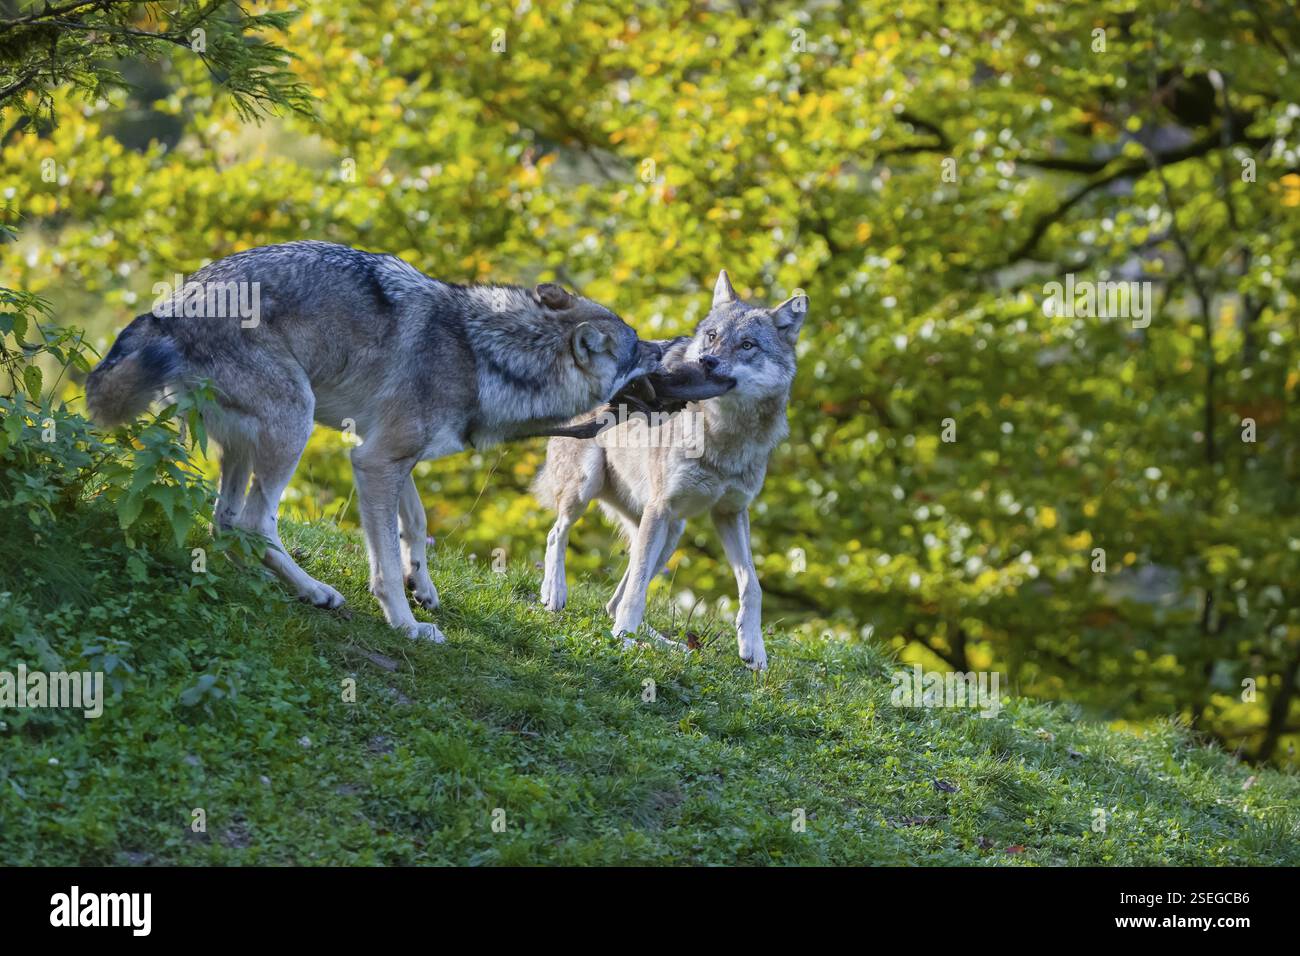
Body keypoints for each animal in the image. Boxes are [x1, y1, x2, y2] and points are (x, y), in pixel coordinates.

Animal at [86, 241, 729, 643]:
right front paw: (407, 624)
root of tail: (166, 309)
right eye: (641, 348)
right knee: (251, 521)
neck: (488, 356)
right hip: (294, 422)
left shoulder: (392, 455)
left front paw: (425, 587)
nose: (687, 350)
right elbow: (384, 566)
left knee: (225, 522)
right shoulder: (375, 459)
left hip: (247, 445)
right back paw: (317, 592)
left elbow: (414, 525)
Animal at [533, 270, 806, 670]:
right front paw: (622, 639)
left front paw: (754, 649)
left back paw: (664, 643)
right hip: (592, 490)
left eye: (748, 345)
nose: (707, 361)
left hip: (670, 531)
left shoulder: (731, 512)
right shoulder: (662, 507)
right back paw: (556, 594)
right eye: (712, 336)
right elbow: (636, 589)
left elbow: (751, 584)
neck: (724, 434)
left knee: (614, 600)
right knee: (558, 534)